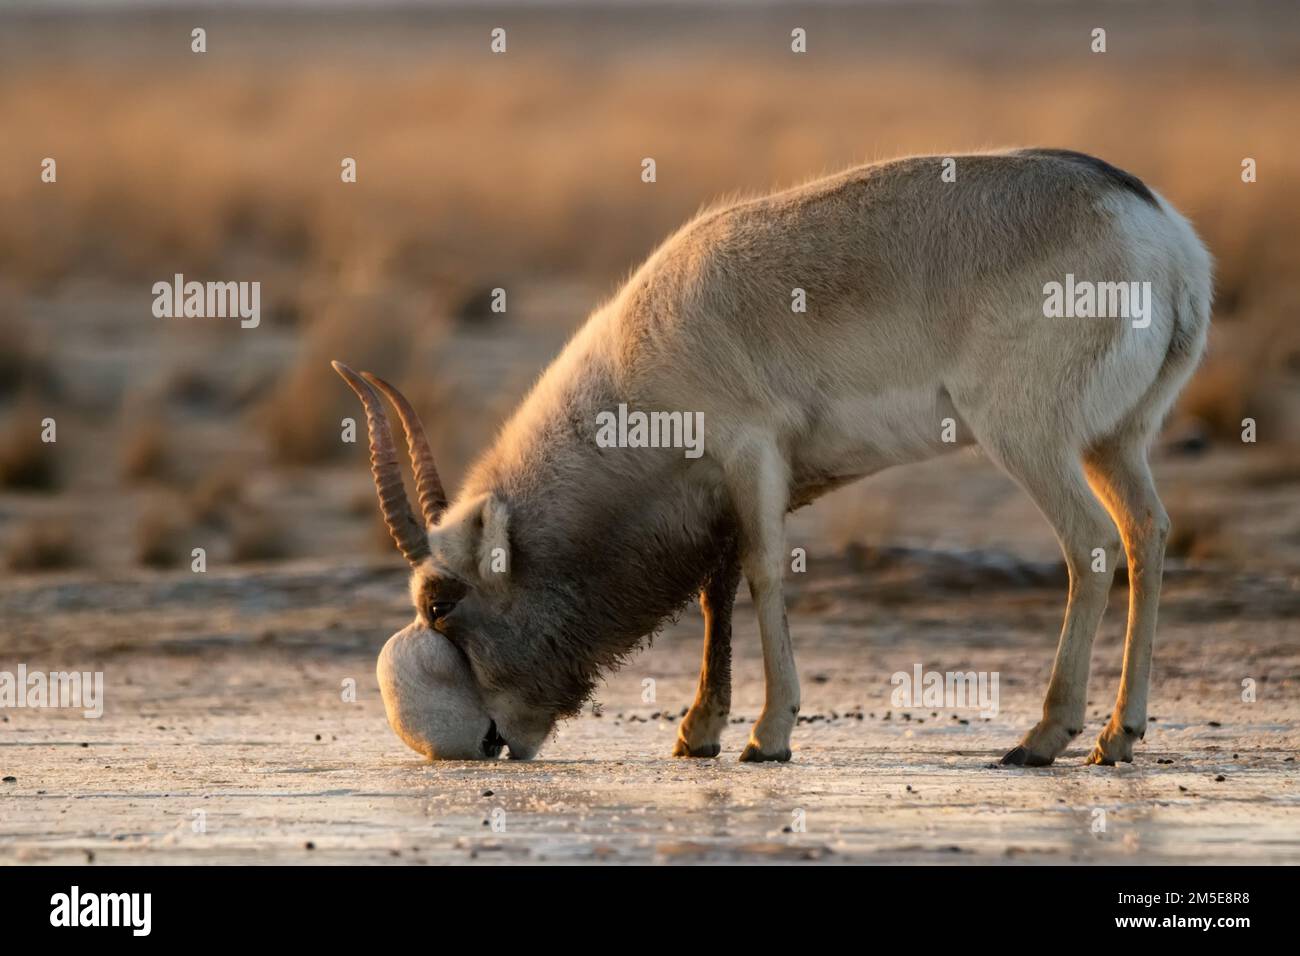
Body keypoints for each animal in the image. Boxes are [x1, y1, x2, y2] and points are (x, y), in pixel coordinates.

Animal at [335, 148, 1211, 766]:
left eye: (441, 603)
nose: (492, 739)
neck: (647, 336)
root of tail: (1163, 240)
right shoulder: (740, 482)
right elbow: (717, 589)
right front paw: (699, 731)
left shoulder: (750, 450)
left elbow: (760, 574)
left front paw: (768, 733)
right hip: (1115, 442)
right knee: (1147, 533)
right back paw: (1119, 736)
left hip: (1030, 439)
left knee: (1090, 544)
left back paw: (1042, 738)